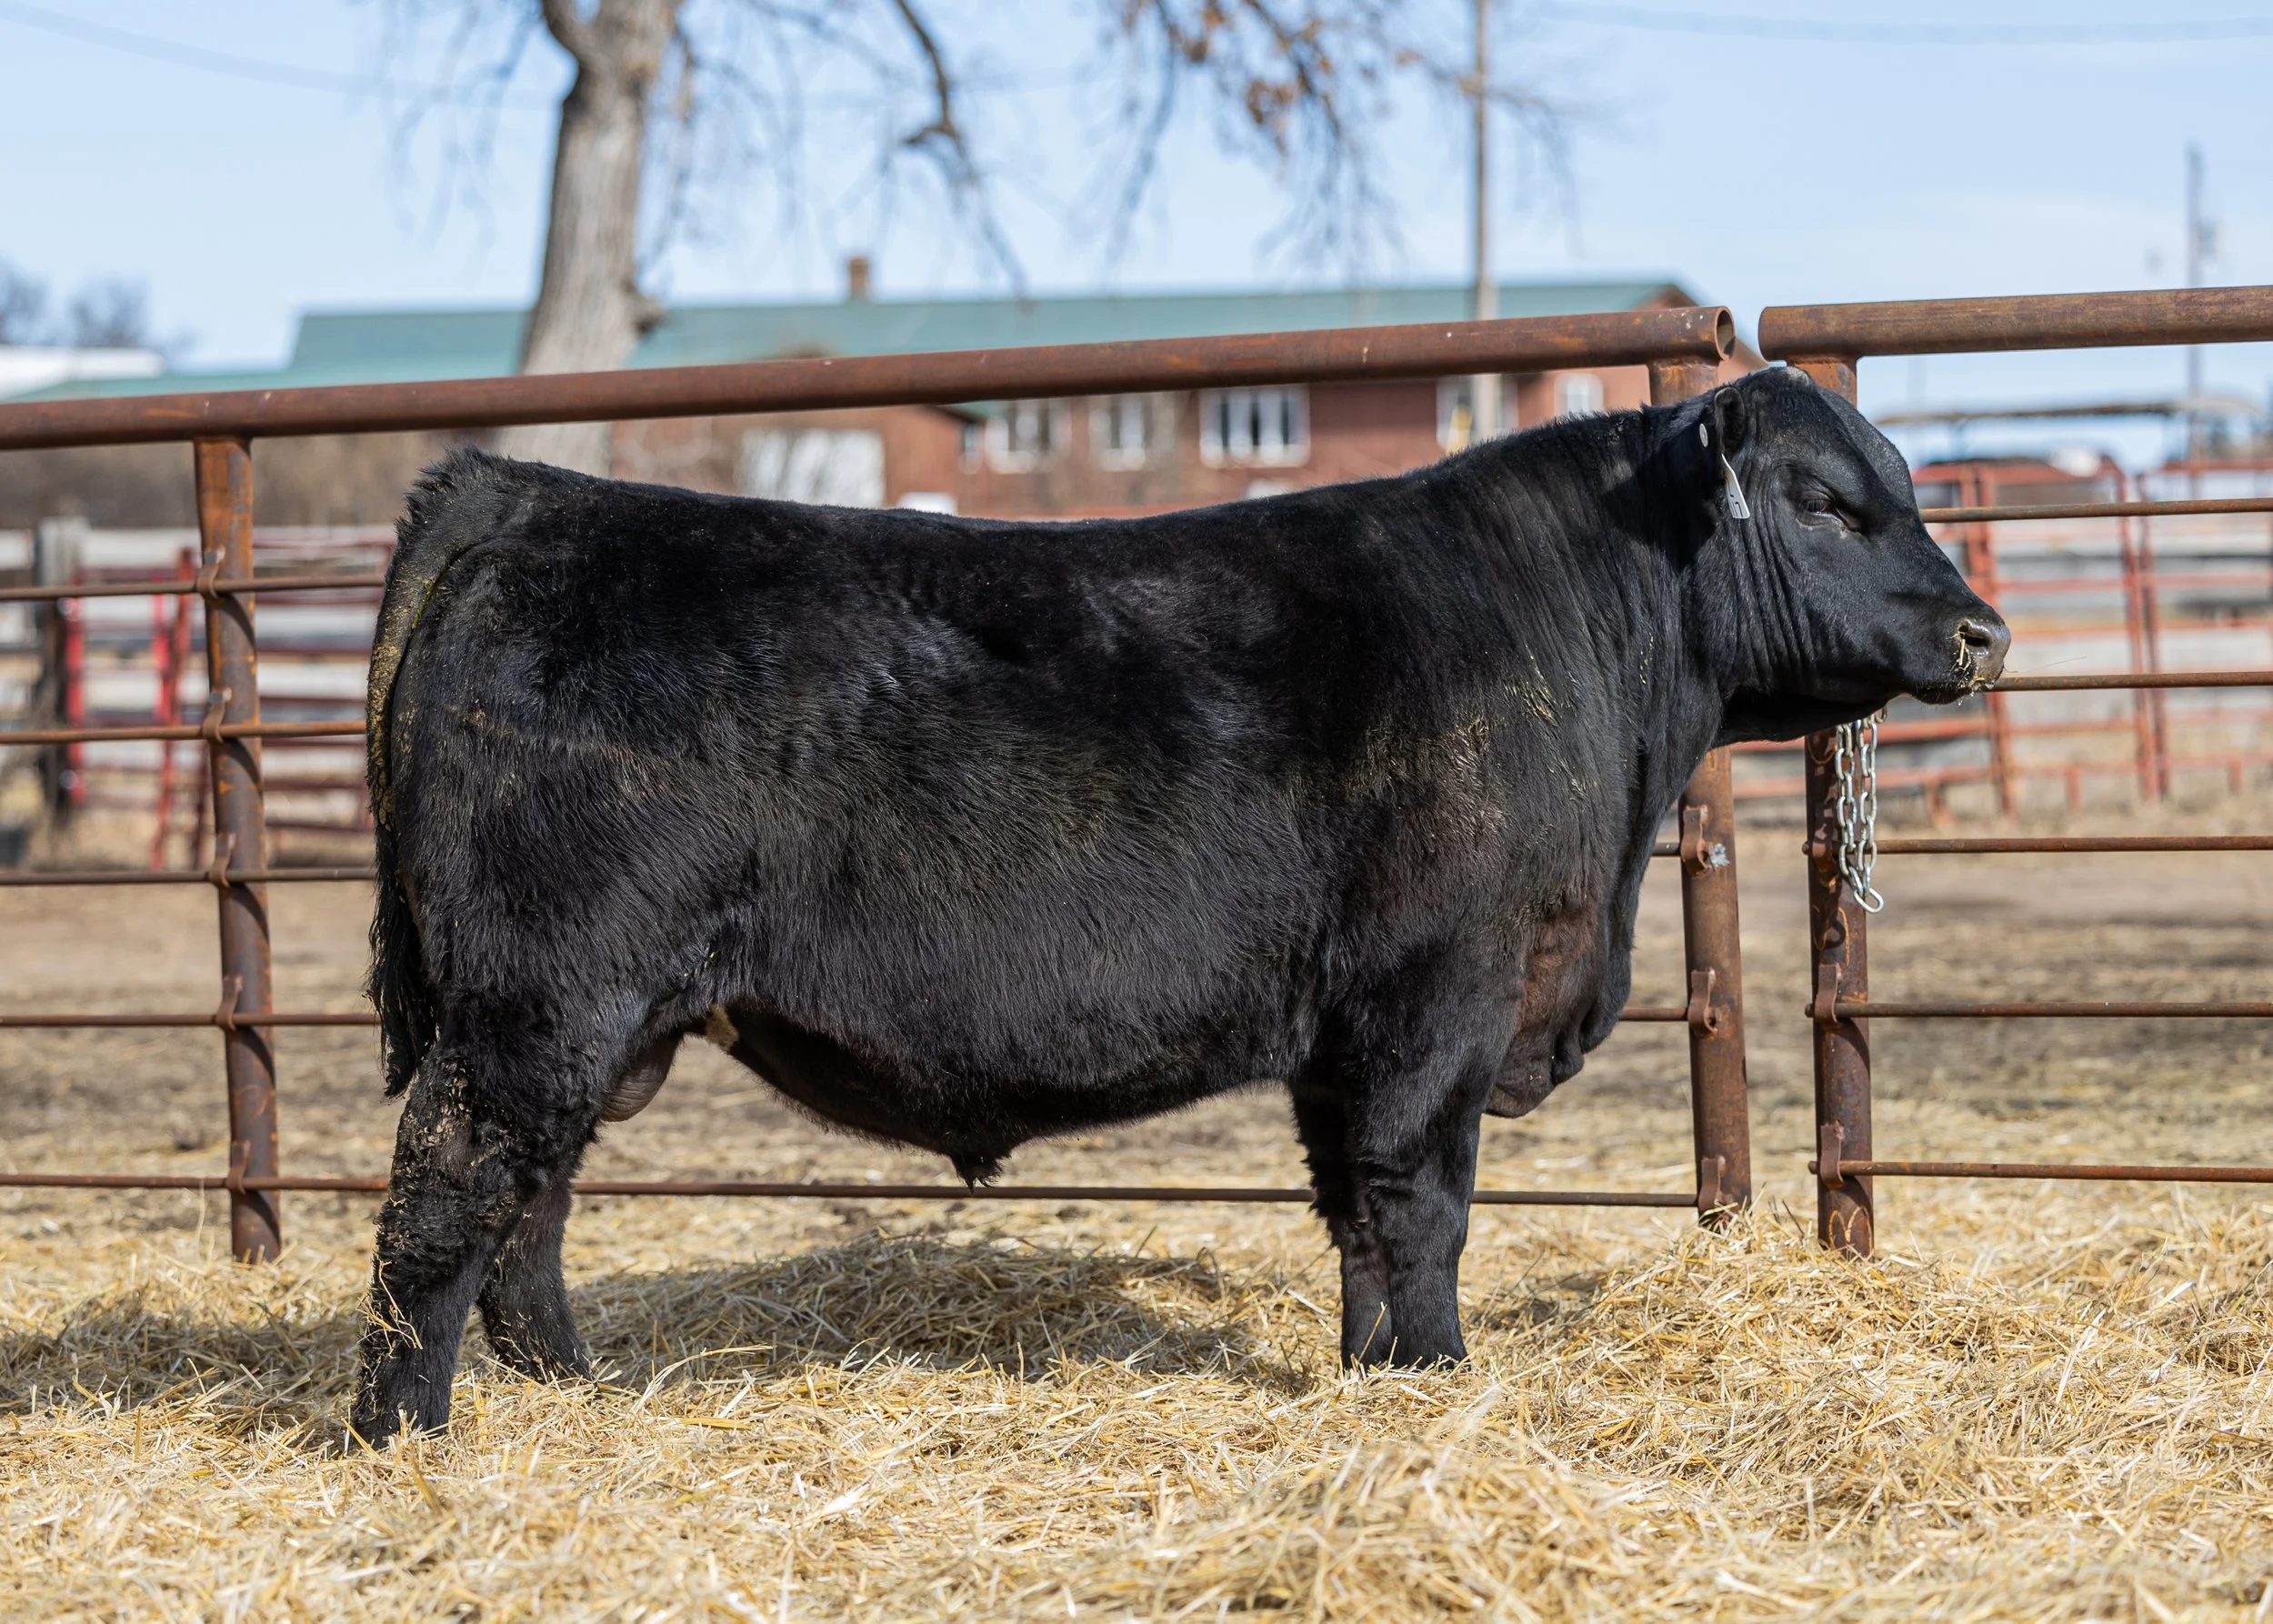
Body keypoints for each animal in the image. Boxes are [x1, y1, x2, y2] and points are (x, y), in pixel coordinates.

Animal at [349, 367, 2007, 1441]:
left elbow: (1355, 1208)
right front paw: (1439, 1381)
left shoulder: (1348, 1032)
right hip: (541, 998)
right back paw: (401, 1434)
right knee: (450, 1190)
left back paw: (571, 1392)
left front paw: (1374, 1380)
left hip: (600, 1017)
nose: (1983, 629)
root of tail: (518, 492)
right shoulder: (1436, 996)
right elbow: (1425, 1200)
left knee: (532, 1206)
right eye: (1825, 500)